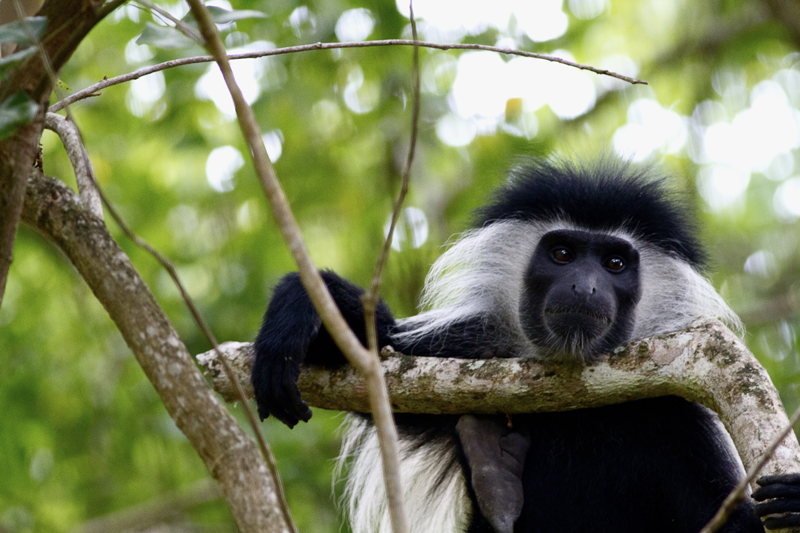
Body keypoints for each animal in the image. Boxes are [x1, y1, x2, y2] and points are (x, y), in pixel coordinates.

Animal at [252, 158, 800, 533]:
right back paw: (496, 473)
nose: (584, 286)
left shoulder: (678, 417)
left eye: (614, 264)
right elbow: (379, 359)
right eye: (562, 254)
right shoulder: (466, 348)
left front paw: (793, 499)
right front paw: (301, 312)